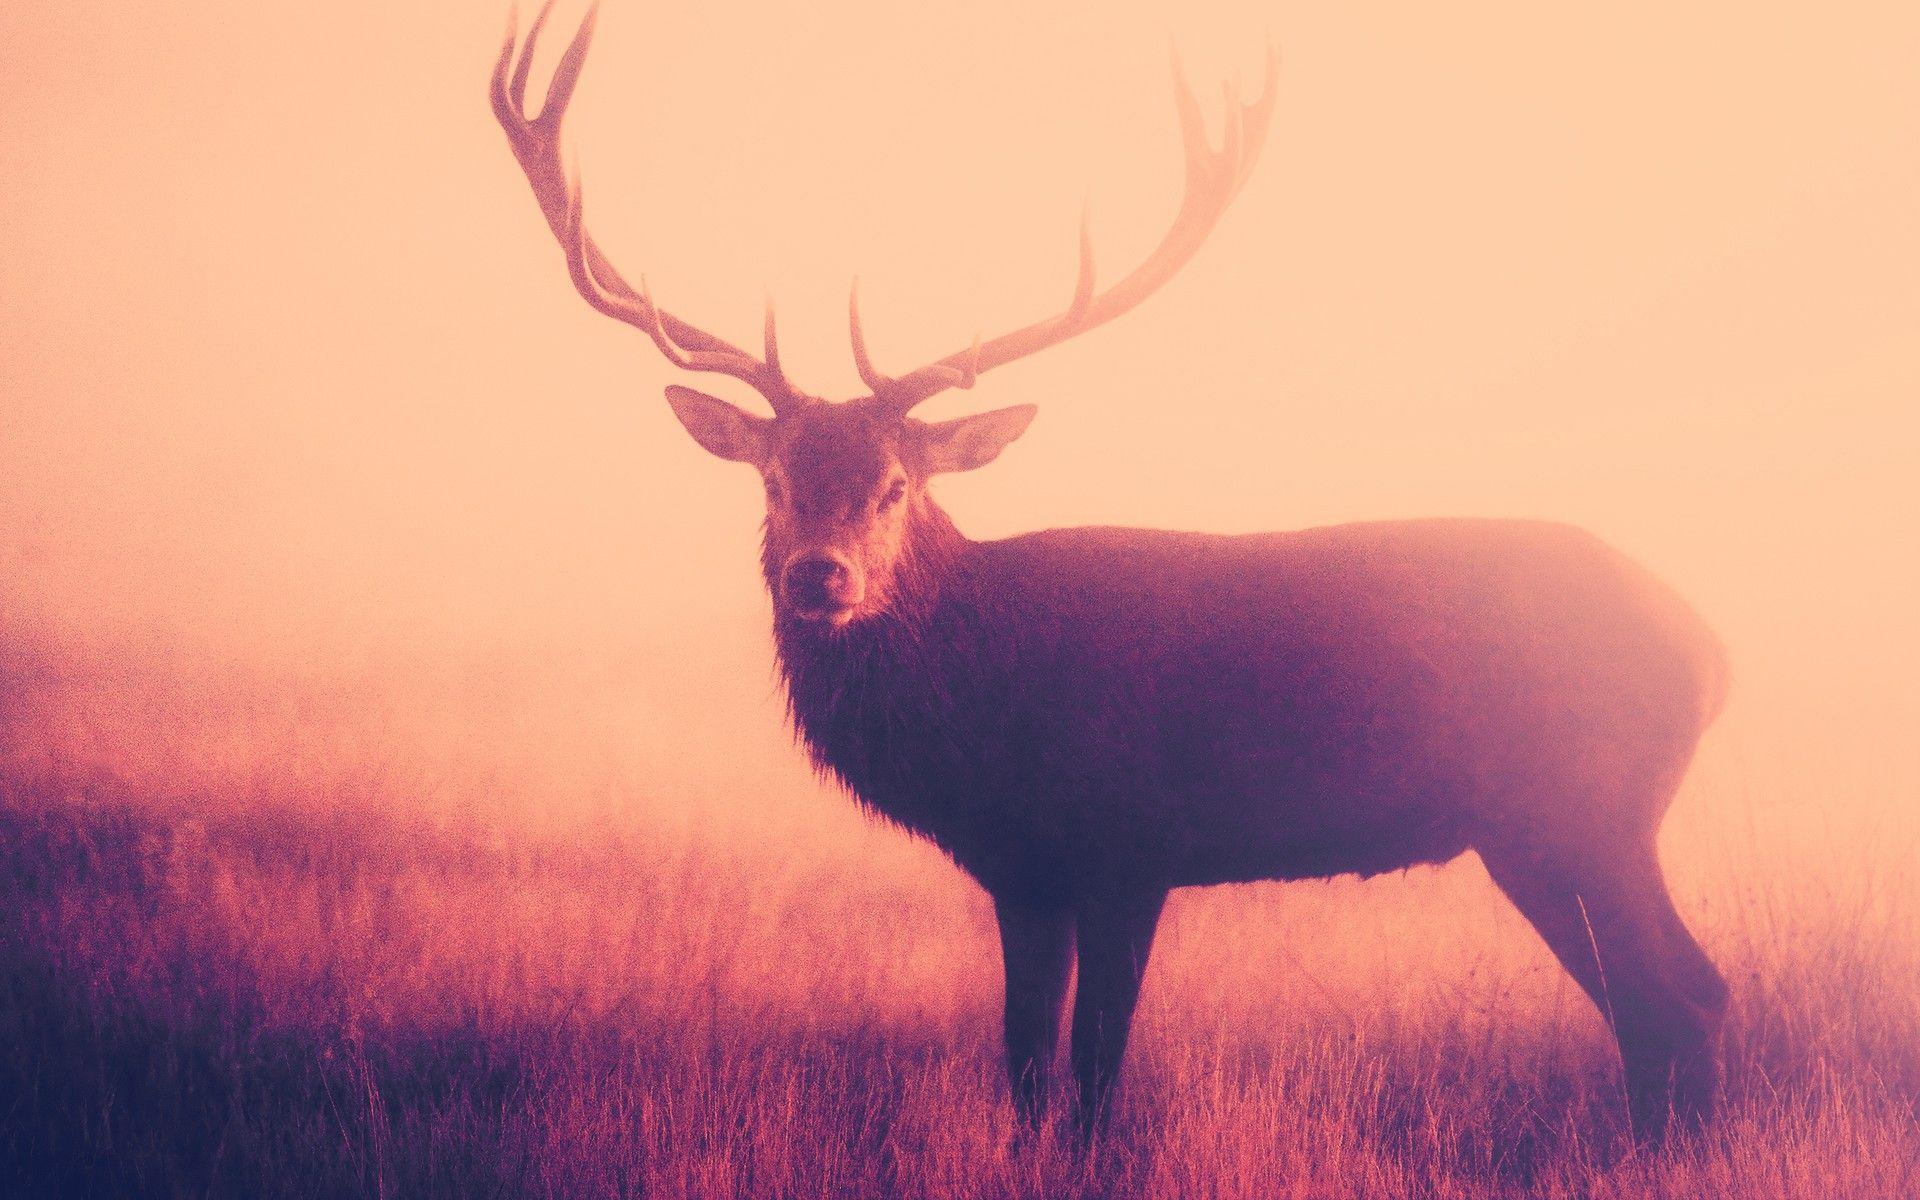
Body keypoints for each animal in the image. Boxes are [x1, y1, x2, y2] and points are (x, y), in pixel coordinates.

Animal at [491, 1, 1732, 1143]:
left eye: (897, 486)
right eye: (776, 482)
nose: (821, 577)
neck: (983, 719)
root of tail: (1713, 652)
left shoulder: (1133, 842)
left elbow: (1094, 1074)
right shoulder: (1022, 869)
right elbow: (1030, 1067)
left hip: (1580, 805)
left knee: (1680, 998)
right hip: (1556, 823)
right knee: (1667, 1000)